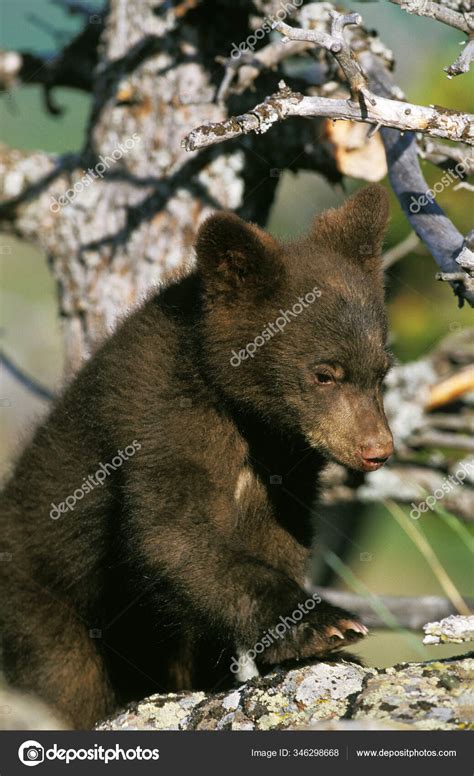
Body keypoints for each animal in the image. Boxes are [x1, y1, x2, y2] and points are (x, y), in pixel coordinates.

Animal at [0, 184, 393, 729]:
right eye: (324, 373)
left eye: (382, 371)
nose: (377, 450)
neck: (247, 415)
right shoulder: (161, 420)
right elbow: (170, 534)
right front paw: (326, 624)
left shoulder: (285, 464)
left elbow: (278, 536)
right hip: (42, 600)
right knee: (63, 678)